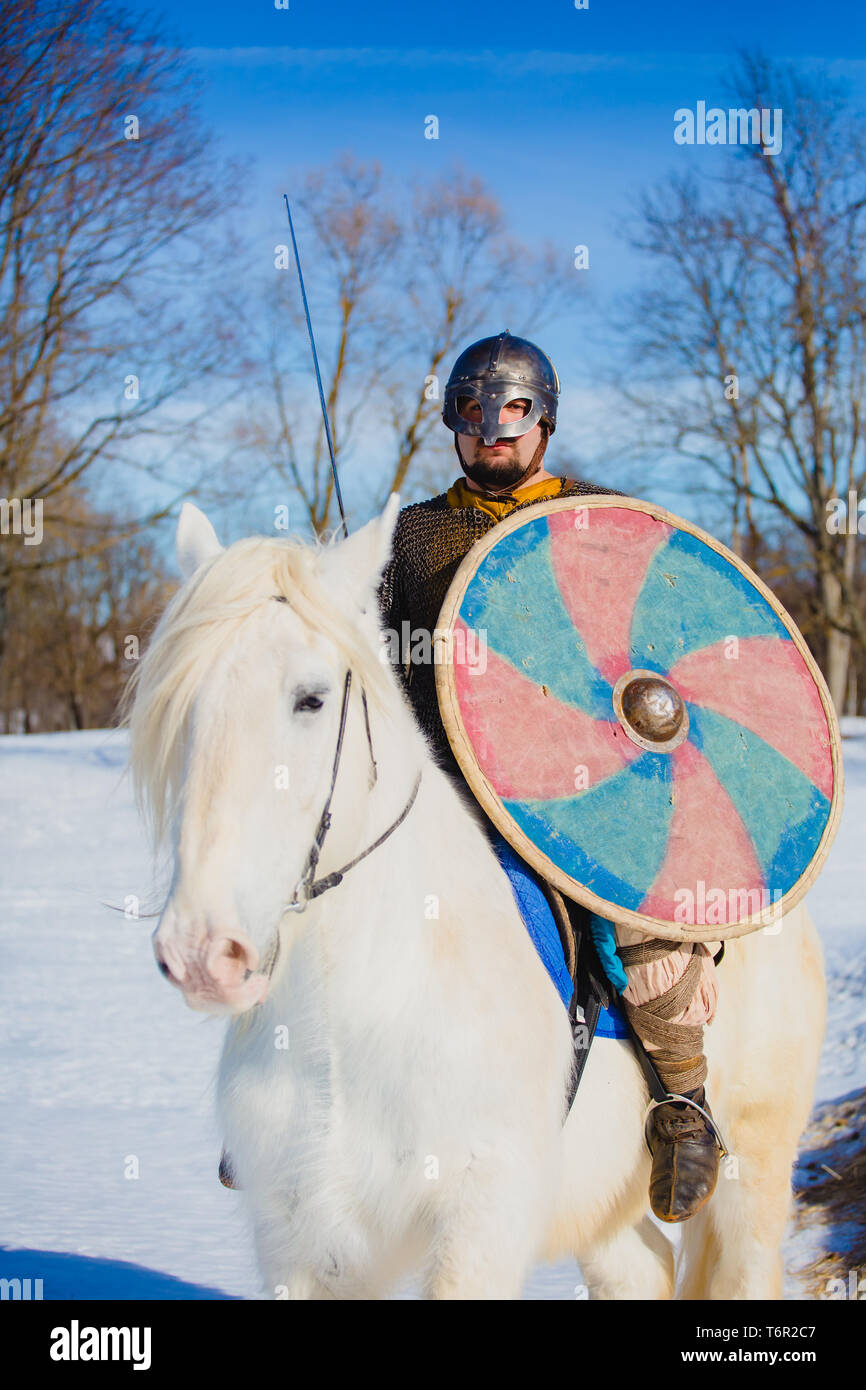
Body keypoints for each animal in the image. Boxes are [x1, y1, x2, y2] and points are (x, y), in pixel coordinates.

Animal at [125, 497, 826, 1300]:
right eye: (182, 705)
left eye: (312, 698)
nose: (201, 954)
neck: (344, 1025)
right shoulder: (300, 1246)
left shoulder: (480, 1225)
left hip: (755, 1168)